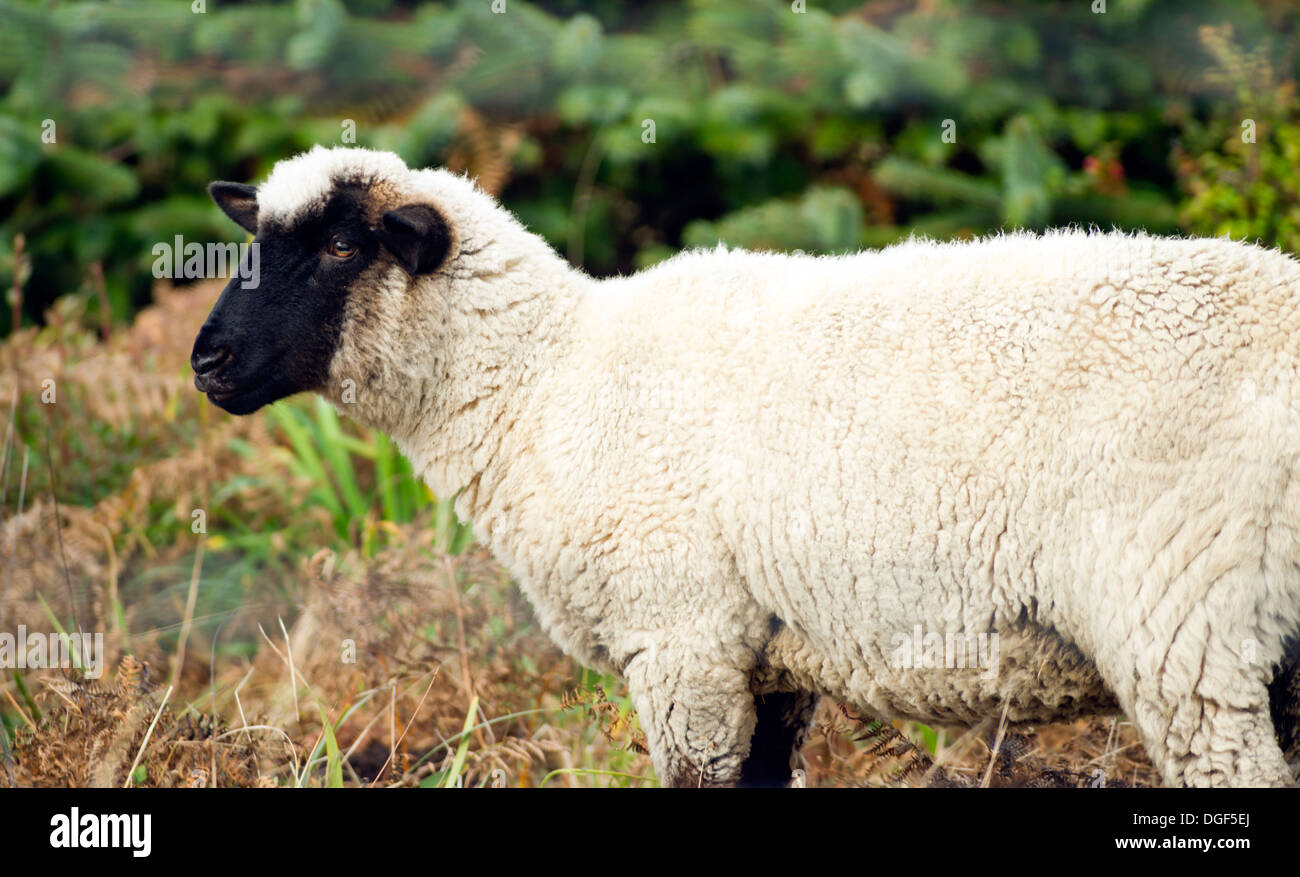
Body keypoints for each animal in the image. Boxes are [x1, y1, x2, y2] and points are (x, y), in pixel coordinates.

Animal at [192, 145, 1300, 787]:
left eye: (343, 246)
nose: (208, 362)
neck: (543, 382)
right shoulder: (767, 657)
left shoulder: (682, 638)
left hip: (1185, 624)